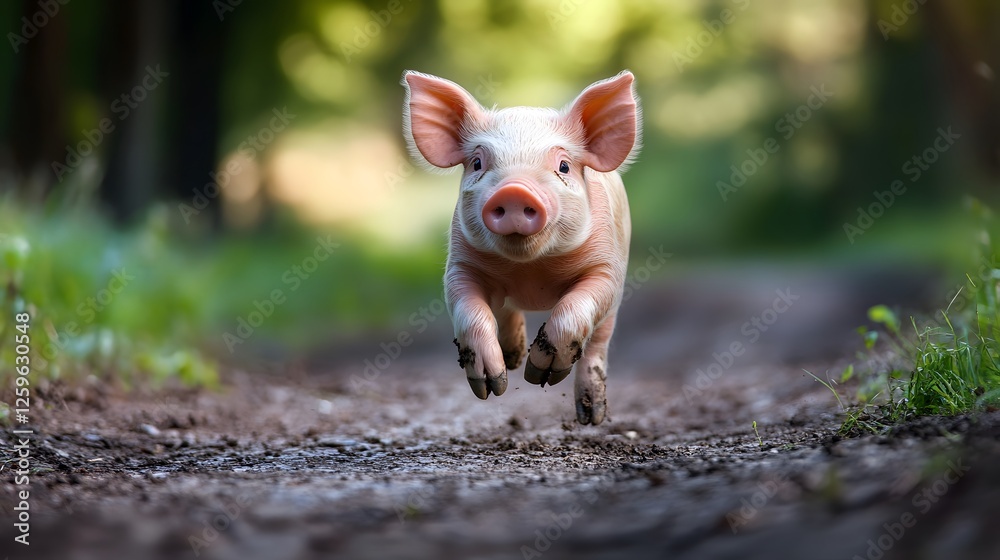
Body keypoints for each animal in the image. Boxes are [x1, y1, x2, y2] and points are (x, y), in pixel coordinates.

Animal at [401, 70, 640, 425]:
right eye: (477, 163)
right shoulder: (460, 265)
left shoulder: (607, 266)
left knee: (598, 343)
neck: (529, 271)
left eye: (564, 166)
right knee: (504, 310)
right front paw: (493, 386)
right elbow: (469, 311)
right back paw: (511, 360)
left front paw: (538, 375)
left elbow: (577, 306)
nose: (514, 191)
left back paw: (590, 416)